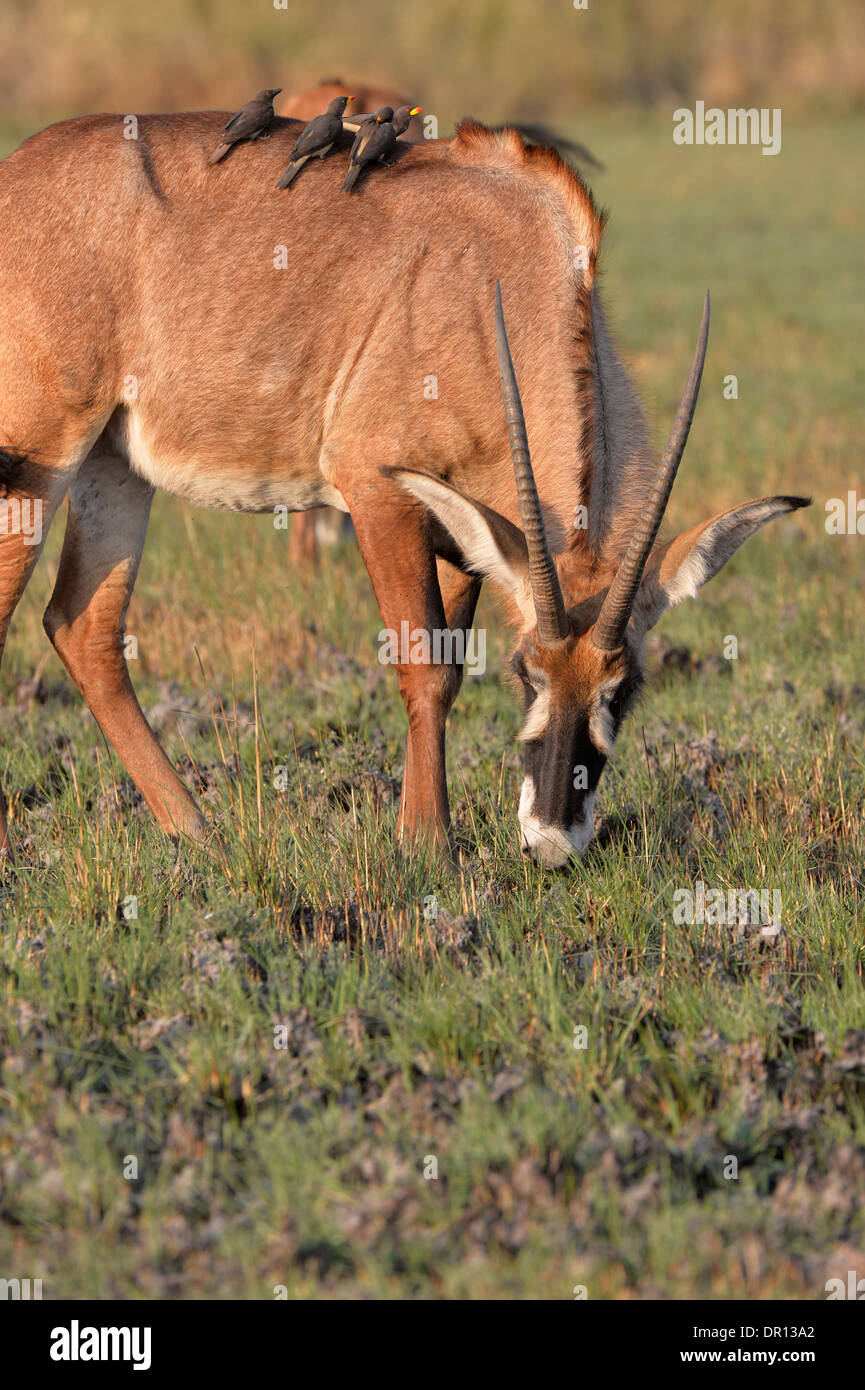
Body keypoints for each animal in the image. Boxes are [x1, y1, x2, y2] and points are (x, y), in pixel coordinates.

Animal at [0, 111, 807, 866]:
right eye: (526, 672)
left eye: (623, 687)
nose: (551, 840)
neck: (504, 275)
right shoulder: (379, 491)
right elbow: (424, 667)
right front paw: (426, 842)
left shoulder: (467, 531)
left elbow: (448, 668)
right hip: (38, 461)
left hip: (113, 467)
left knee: (84, 629)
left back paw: (198, 833)